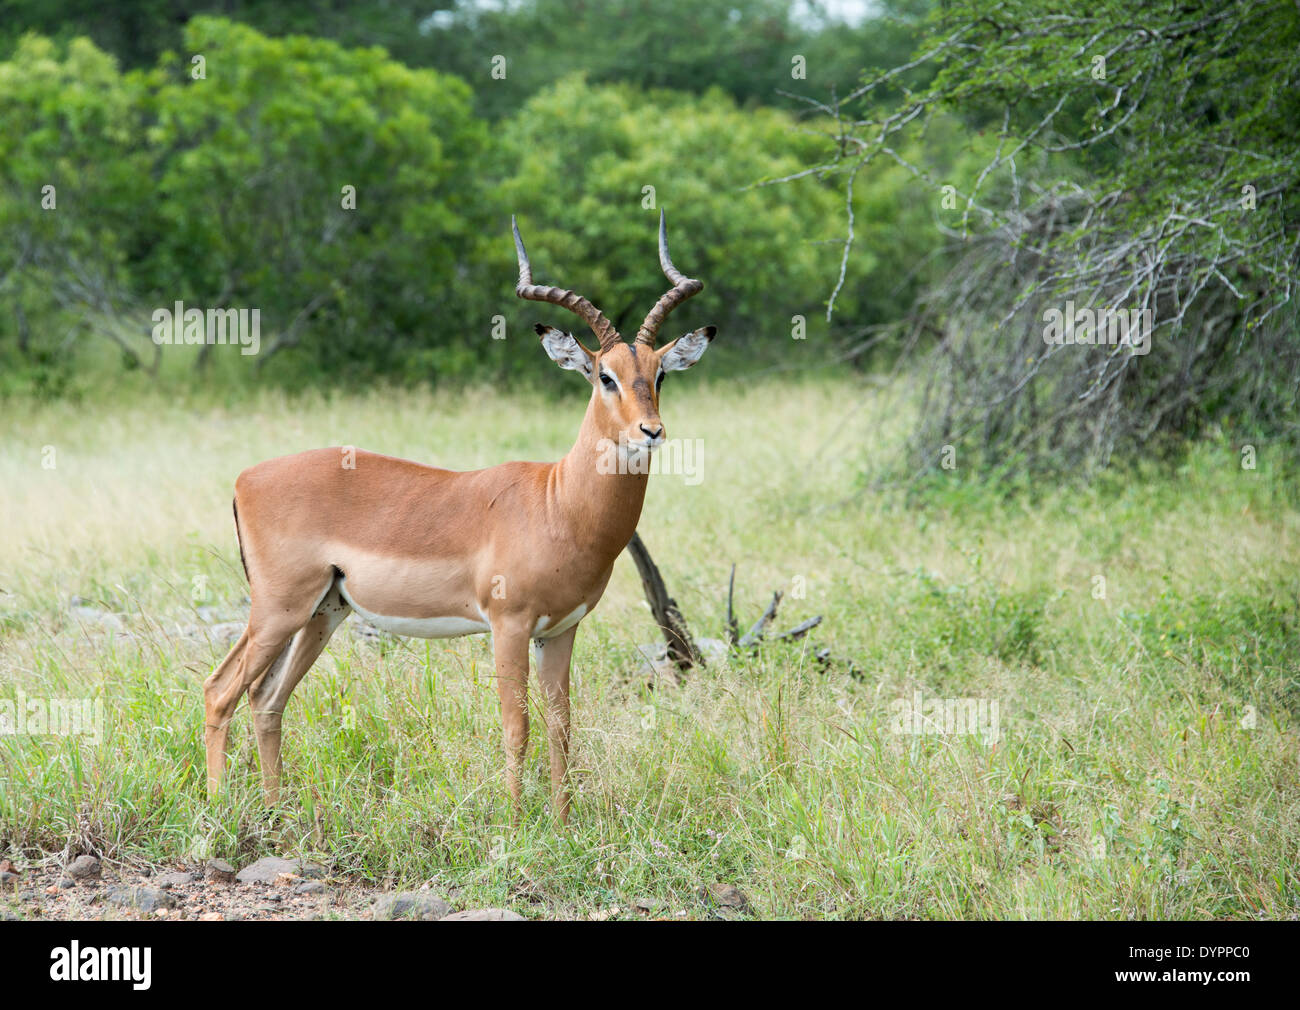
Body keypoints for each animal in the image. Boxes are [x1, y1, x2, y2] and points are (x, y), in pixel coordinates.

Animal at [203, 211, 715, 823]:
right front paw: (516, 825)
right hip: (278, 609)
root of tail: (244, 479)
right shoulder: (509, 625)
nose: (651, 432)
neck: (557, 504)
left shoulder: (560, 630)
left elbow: (561, 729)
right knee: (219, 691)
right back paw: (217, 814)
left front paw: (563, 824)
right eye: (603, 375)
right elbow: (517, 728)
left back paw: (279, 814)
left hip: (322, 613)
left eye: (660, 373)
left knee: (266, 698)